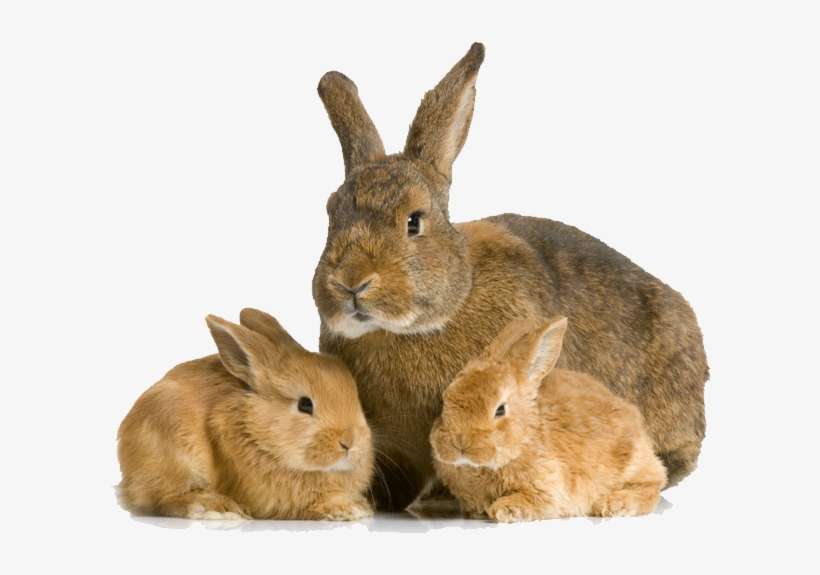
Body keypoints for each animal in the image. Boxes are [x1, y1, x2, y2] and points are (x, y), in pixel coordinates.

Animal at [116, 308, 374, 521]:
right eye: (305, 405)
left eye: (355, 397)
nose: (350, 442)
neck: (254, 430)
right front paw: (347, 509)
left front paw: (360, 505)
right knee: (164, 499)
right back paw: (216, 508)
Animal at [430, 316, 667, 522]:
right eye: (446, 400)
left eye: (499, 410)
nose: (459, 444)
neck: (525, 439)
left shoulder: (549, 489)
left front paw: (504, 510)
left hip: (631, 463)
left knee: (653, 486)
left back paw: (613, 504)